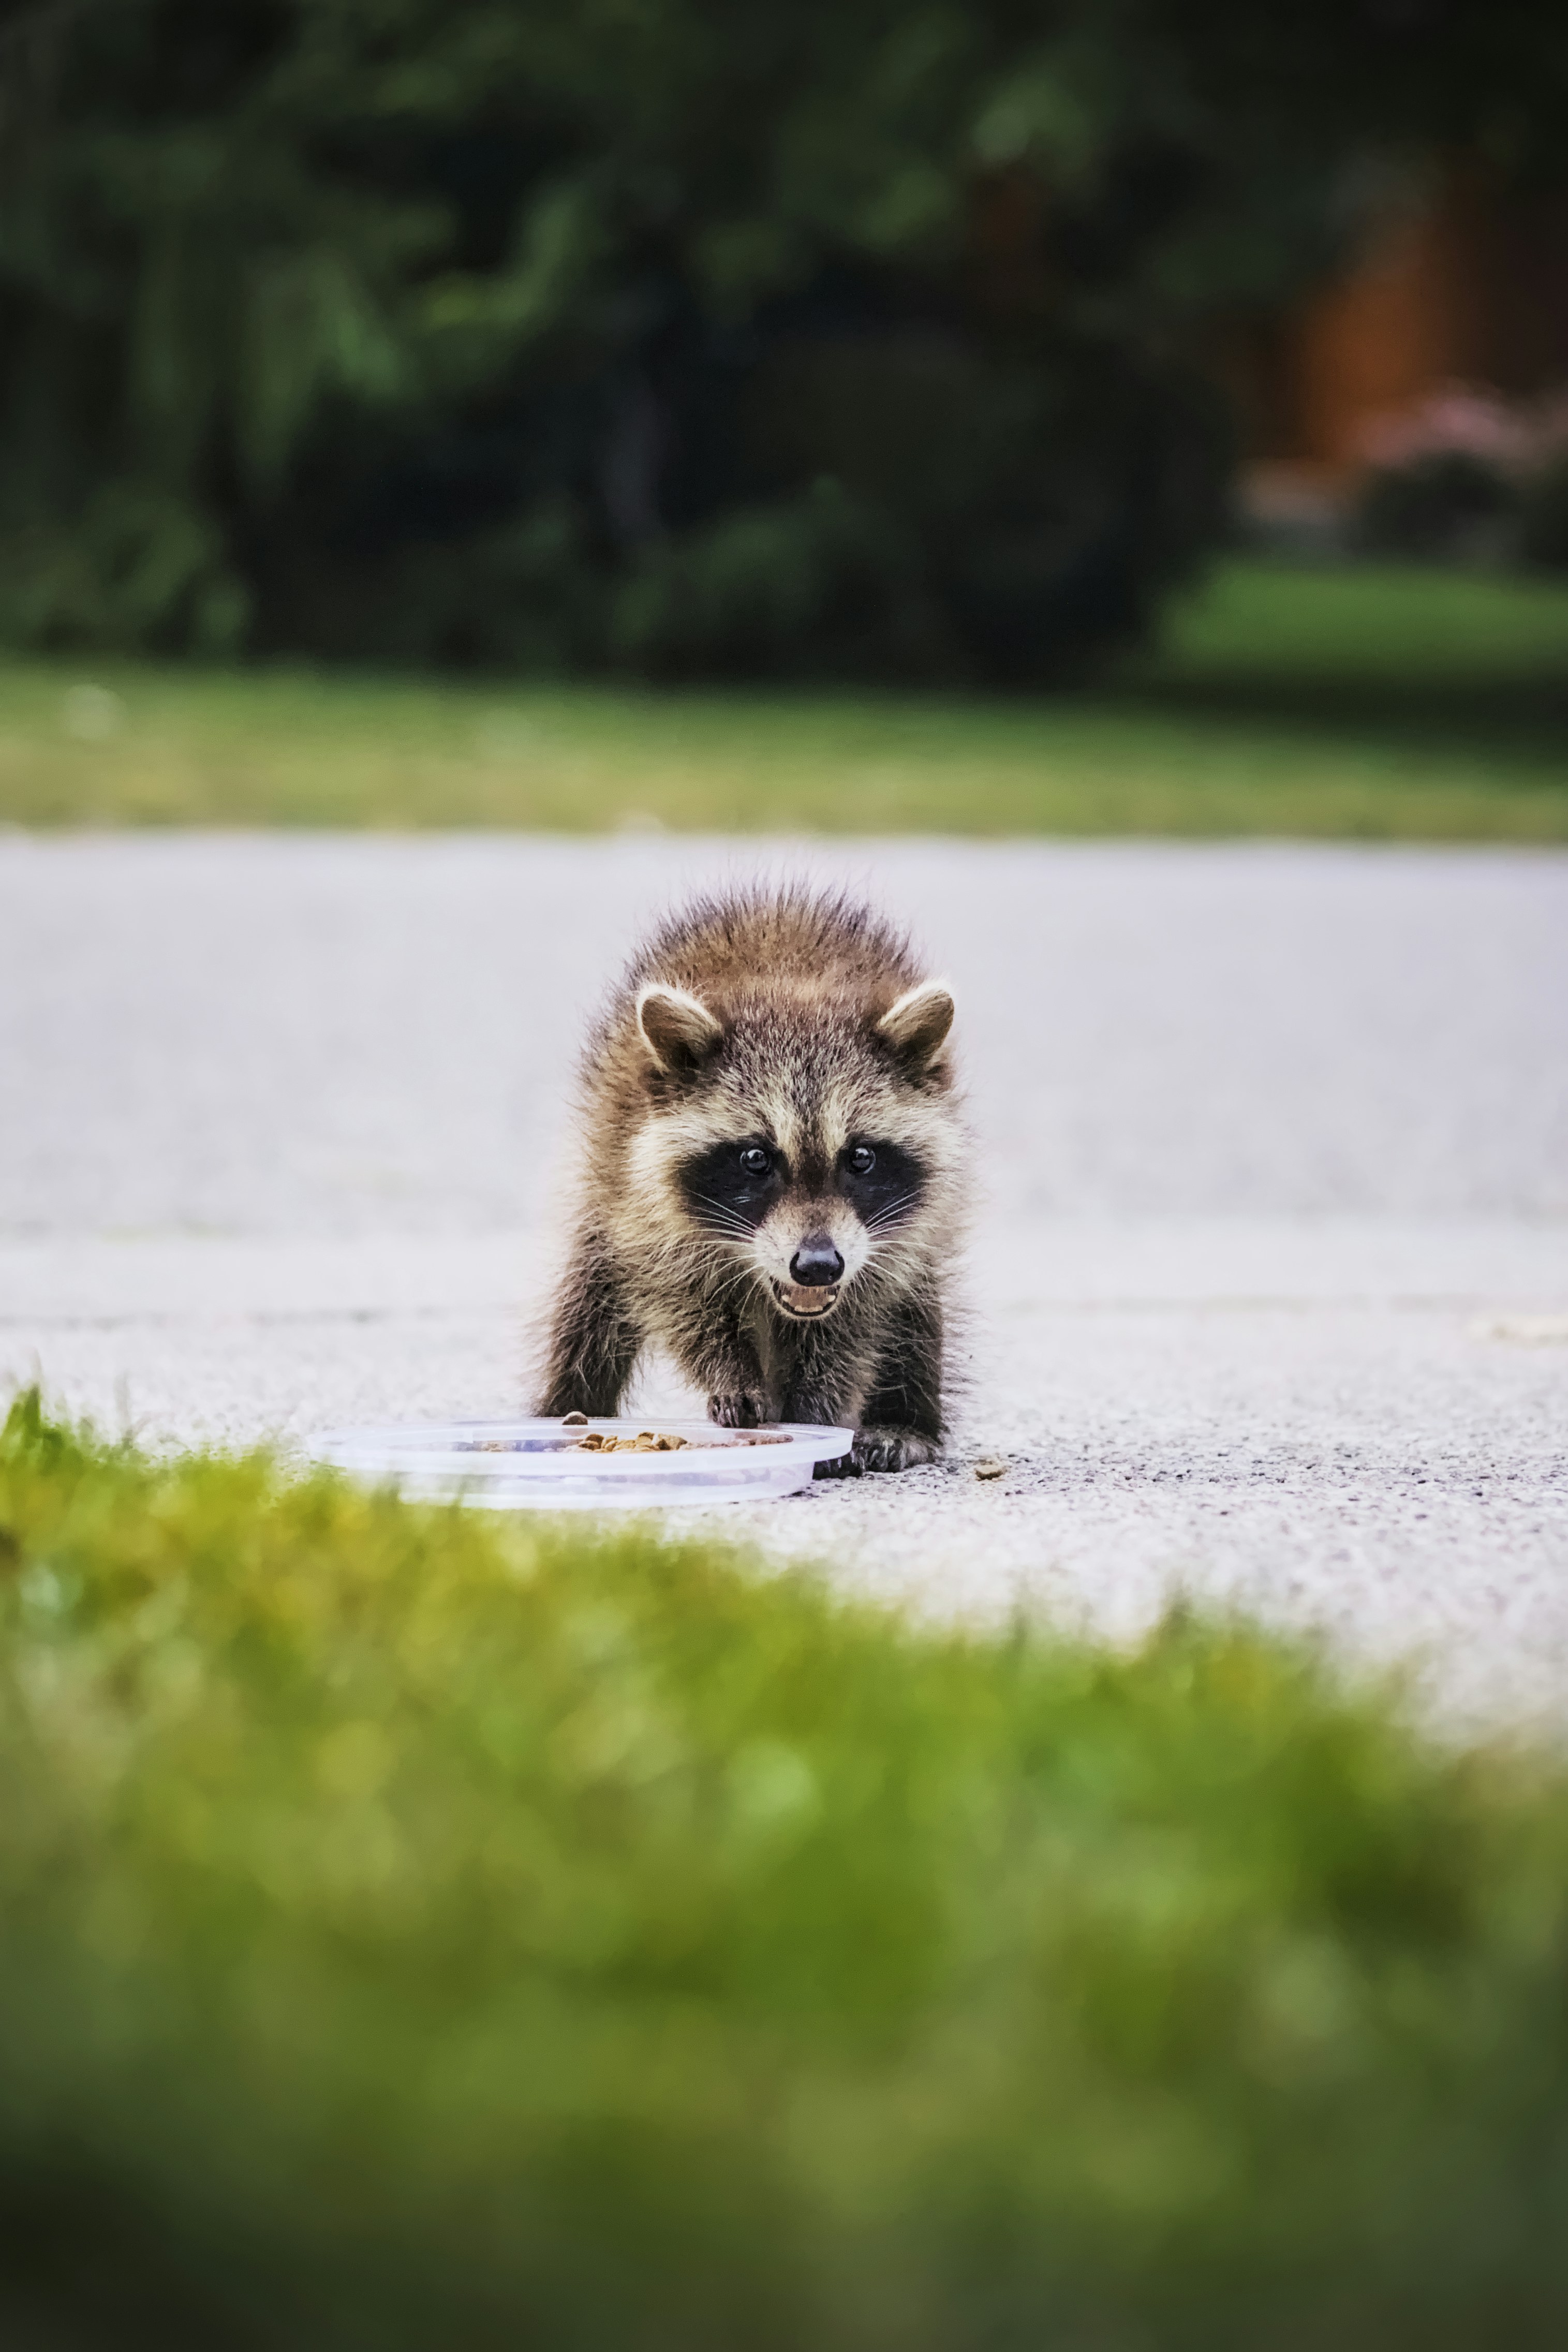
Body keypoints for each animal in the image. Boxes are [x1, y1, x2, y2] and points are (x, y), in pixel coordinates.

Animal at [538, 886, 965, 1473]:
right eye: (757, 1159)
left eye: (860, 1157)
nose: (817, 1265)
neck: (792, 993)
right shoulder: (638, 1189)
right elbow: (680, 1297)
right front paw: (731, 1372)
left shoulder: (889, 1240)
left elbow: (860, 1317)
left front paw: (817, 1409)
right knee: (590, 1303)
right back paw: (568, 1407)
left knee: (916, 1306)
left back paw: (907, 1419)